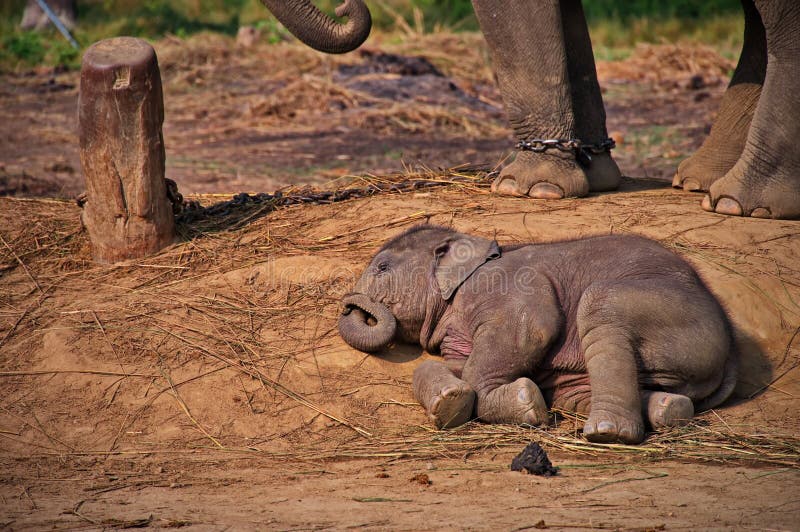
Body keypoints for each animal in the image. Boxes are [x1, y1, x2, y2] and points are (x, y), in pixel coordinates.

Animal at [338, 225, 738, 444]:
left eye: (382, 267)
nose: (347, 305)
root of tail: (732, 344)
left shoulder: (508, 286)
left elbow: (526, 332)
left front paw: (525, 402)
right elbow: (457, 368)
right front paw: (450, 400)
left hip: (676, 313)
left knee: (600, 304)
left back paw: (607, 432)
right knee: (579, 391)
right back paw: (668, 410)